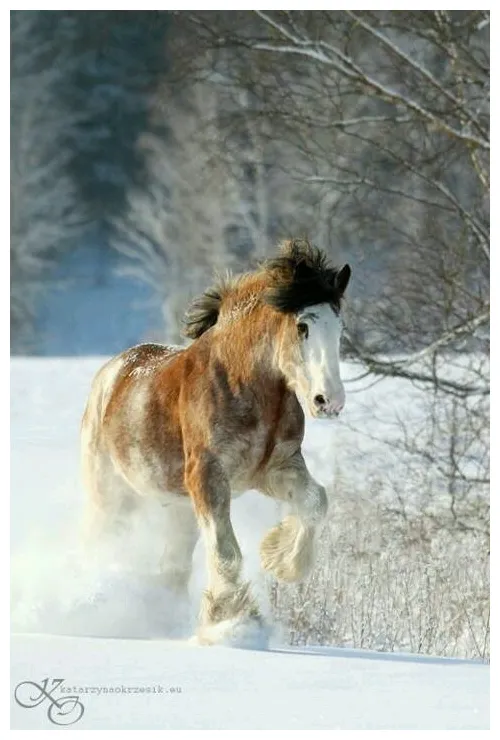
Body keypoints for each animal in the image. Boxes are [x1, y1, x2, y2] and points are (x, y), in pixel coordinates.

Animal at [81, 239, 351, 644]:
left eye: (339, 327)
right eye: (303, 326)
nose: (328, 401)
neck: (243, 384)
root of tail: (110, 373)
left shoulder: (276, 469)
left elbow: (316, 501)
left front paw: (280, 560)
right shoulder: (208, 476)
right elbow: (227, 552)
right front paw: (234, 622)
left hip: (178, 510)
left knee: (172, 569)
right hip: (113, 497)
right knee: (101, 543)